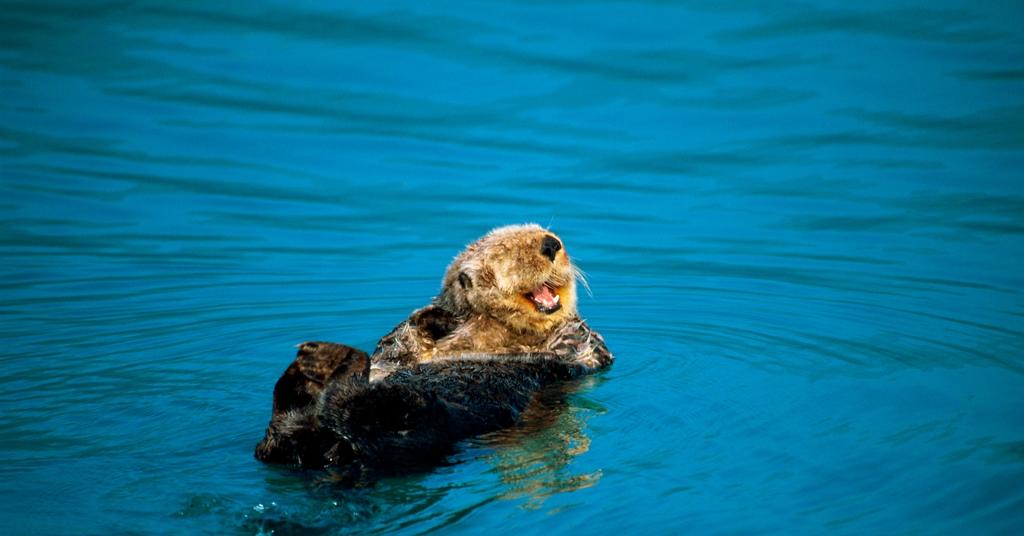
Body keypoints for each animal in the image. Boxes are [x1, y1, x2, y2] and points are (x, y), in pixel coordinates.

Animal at [254, 224, 613, 483]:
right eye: (506, 250)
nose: (551, 244)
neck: (493, 335)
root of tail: (331, 449)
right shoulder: (400, 350)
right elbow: (400, 341)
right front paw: (434, 319)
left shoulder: (589, 355)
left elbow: (584, 348)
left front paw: (566, 334)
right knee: (277, 434)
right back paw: (314, 369)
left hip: (421, 418)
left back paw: (330, 362)